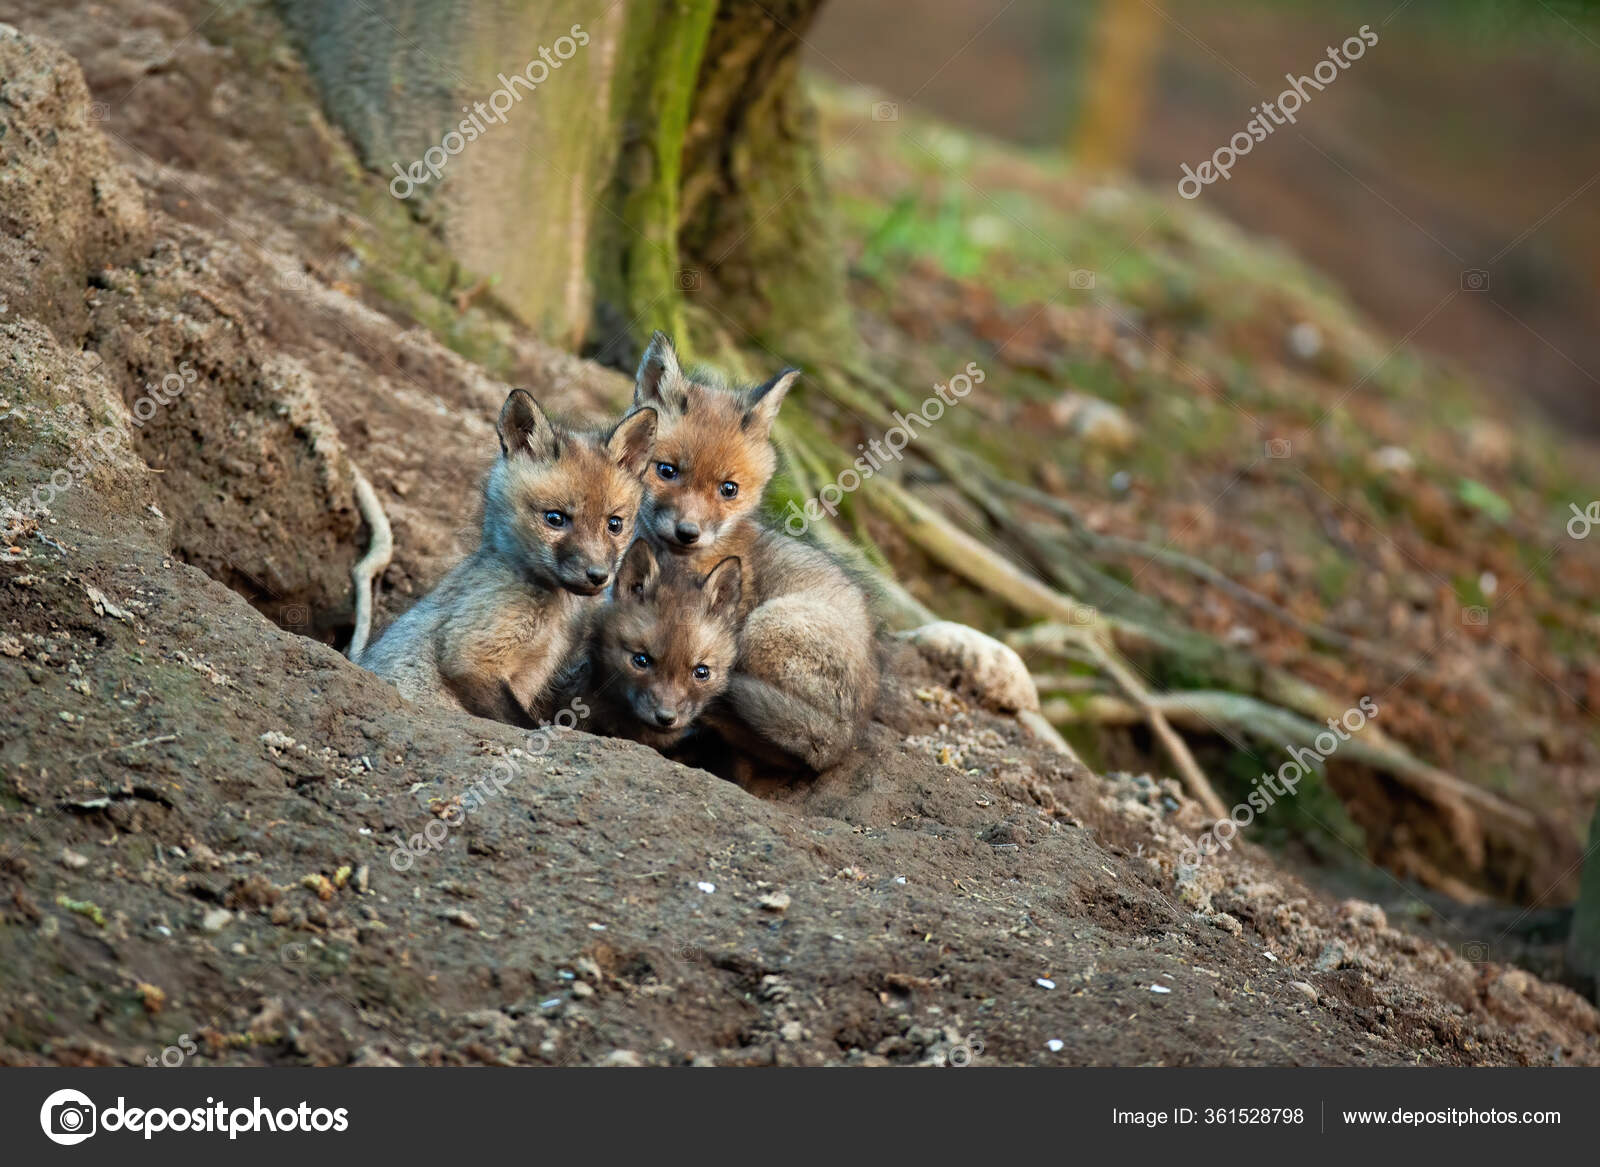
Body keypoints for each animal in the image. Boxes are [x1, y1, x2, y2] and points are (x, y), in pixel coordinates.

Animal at [360, 389, 657, 727]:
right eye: (555, 518)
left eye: (615, 524)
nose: (597, 576)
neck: (555, 613)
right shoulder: (471, 654)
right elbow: (524, 723)